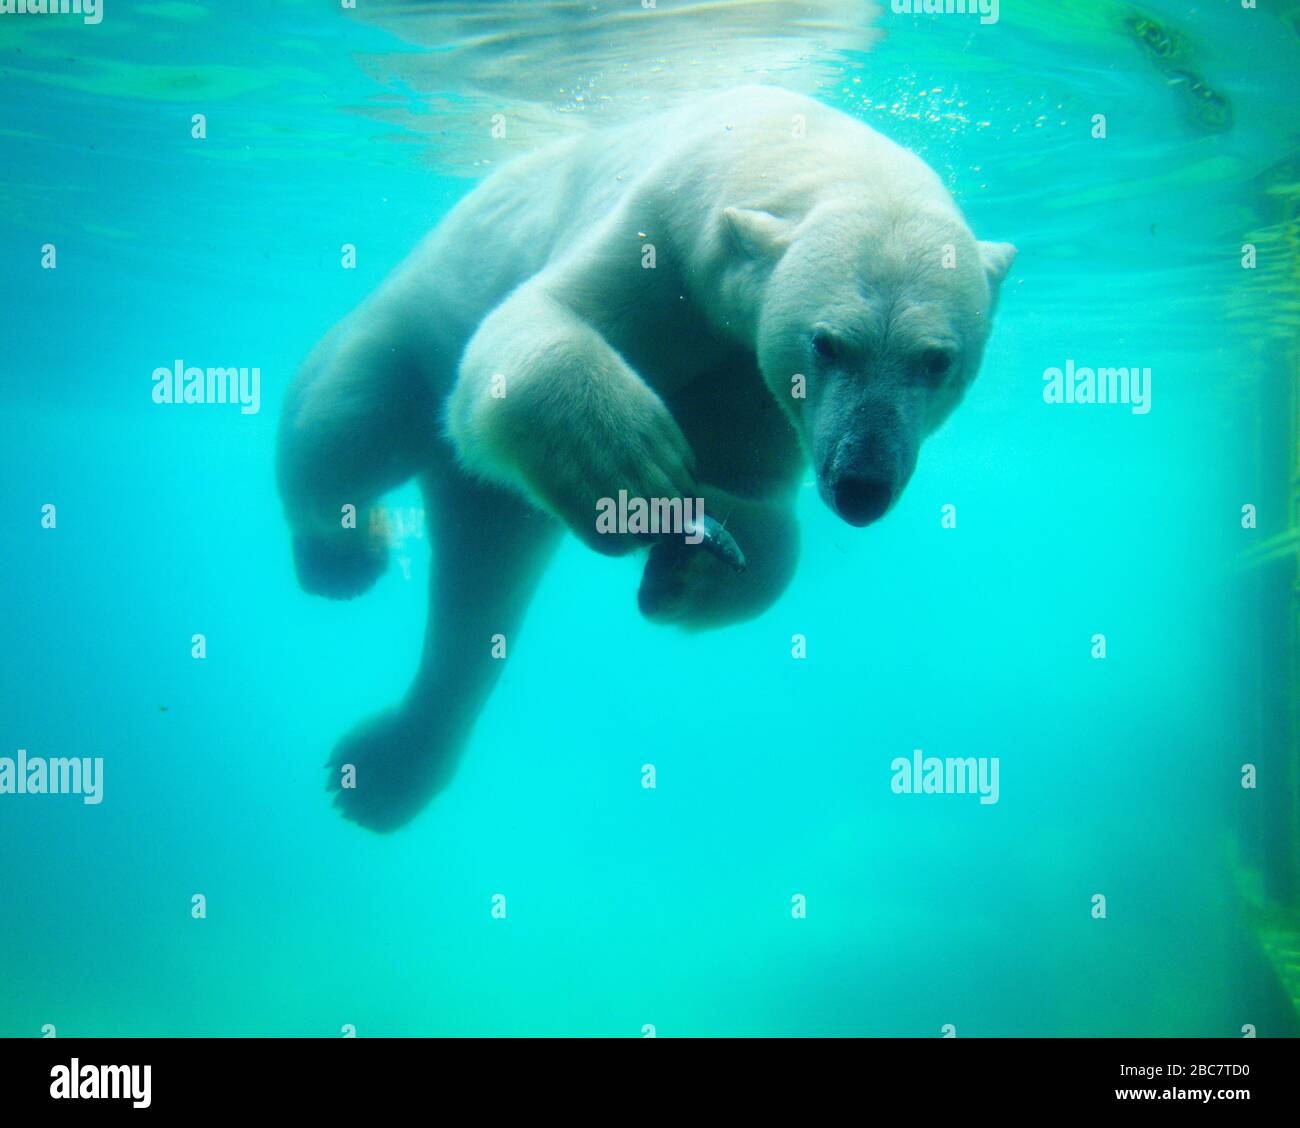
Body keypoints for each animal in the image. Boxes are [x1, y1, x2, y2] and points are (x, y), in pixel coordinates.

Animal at [277, 86, 1015, 832]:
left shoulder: (750, 379)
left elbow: (759, 499)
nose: (862, 486)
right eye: (827, 343)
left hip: (496, 500)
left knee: (482, 592)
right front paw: (636, 473)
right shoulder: (662, 234)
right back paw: (344, 559)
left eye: (937, 361)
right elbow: (533, 323)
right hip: (417, 320)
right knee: (343, 433)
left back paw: (386, 770)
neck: (776, 144)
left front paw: (687, 567)